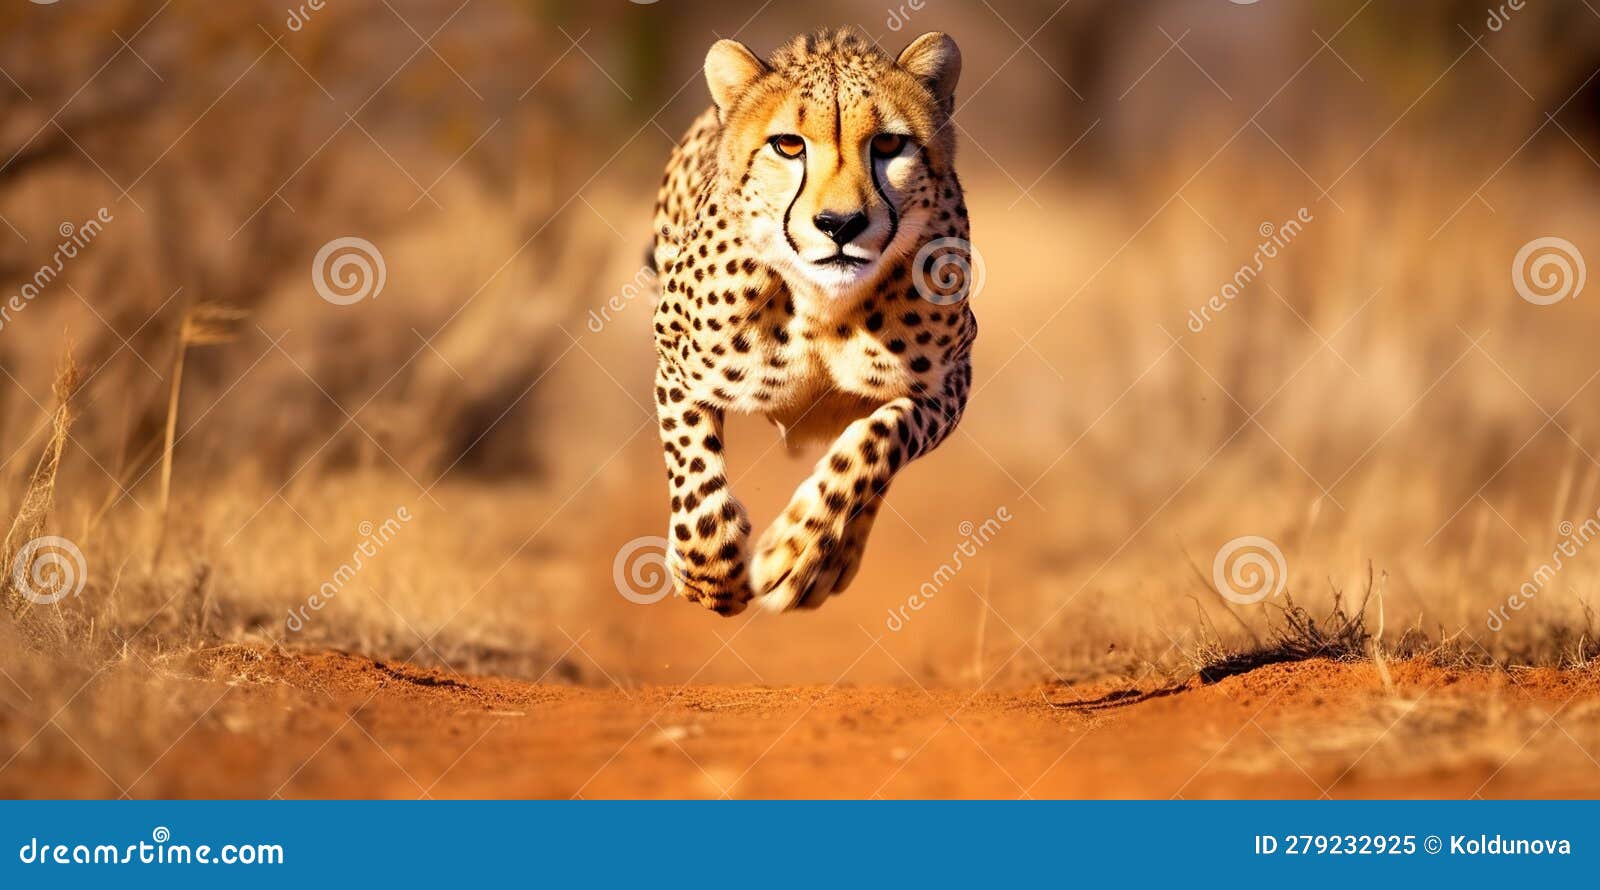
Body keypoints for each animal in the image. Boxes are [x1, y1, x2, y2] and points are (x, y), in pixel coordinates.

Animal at [650, 26, 977, 615]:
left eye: (889, 145)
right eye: (788, 145)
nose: (840, 224)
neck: (823, 305)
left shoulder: (948, 379)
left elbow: (878, 440)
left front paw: (796, 554)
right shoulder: (677, 364)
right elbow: (693, 474)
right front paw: (710, 573)